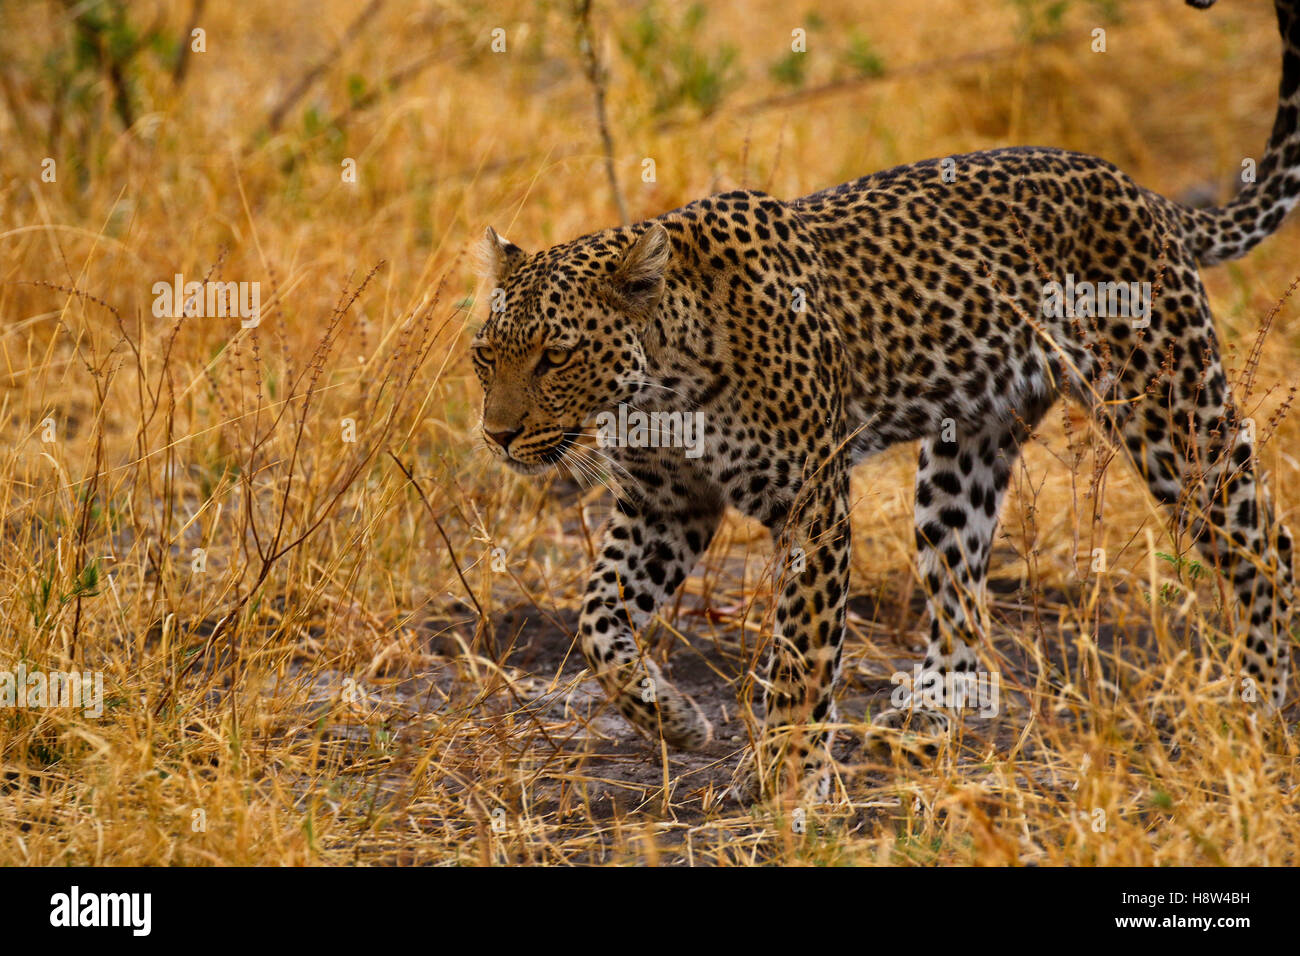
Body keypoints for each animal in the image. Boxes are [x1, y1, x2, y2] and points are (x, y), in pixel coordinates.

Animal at [470, 0, 1300, 802]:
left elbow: (803, 653)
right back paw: (929, 709)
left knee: (1267, 546)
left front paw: (792, 781)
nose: (497, 437)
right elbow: (596, 620)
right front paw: (674, 719)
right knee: (961, 586)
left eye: (555, 357)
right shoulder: (664, 508)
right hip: (963, 457)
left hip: (1173, 418)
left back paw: (1262, 700)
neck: (658, 389)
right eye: (485, 357)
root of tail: (1147, 196)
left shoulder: (810, 507)